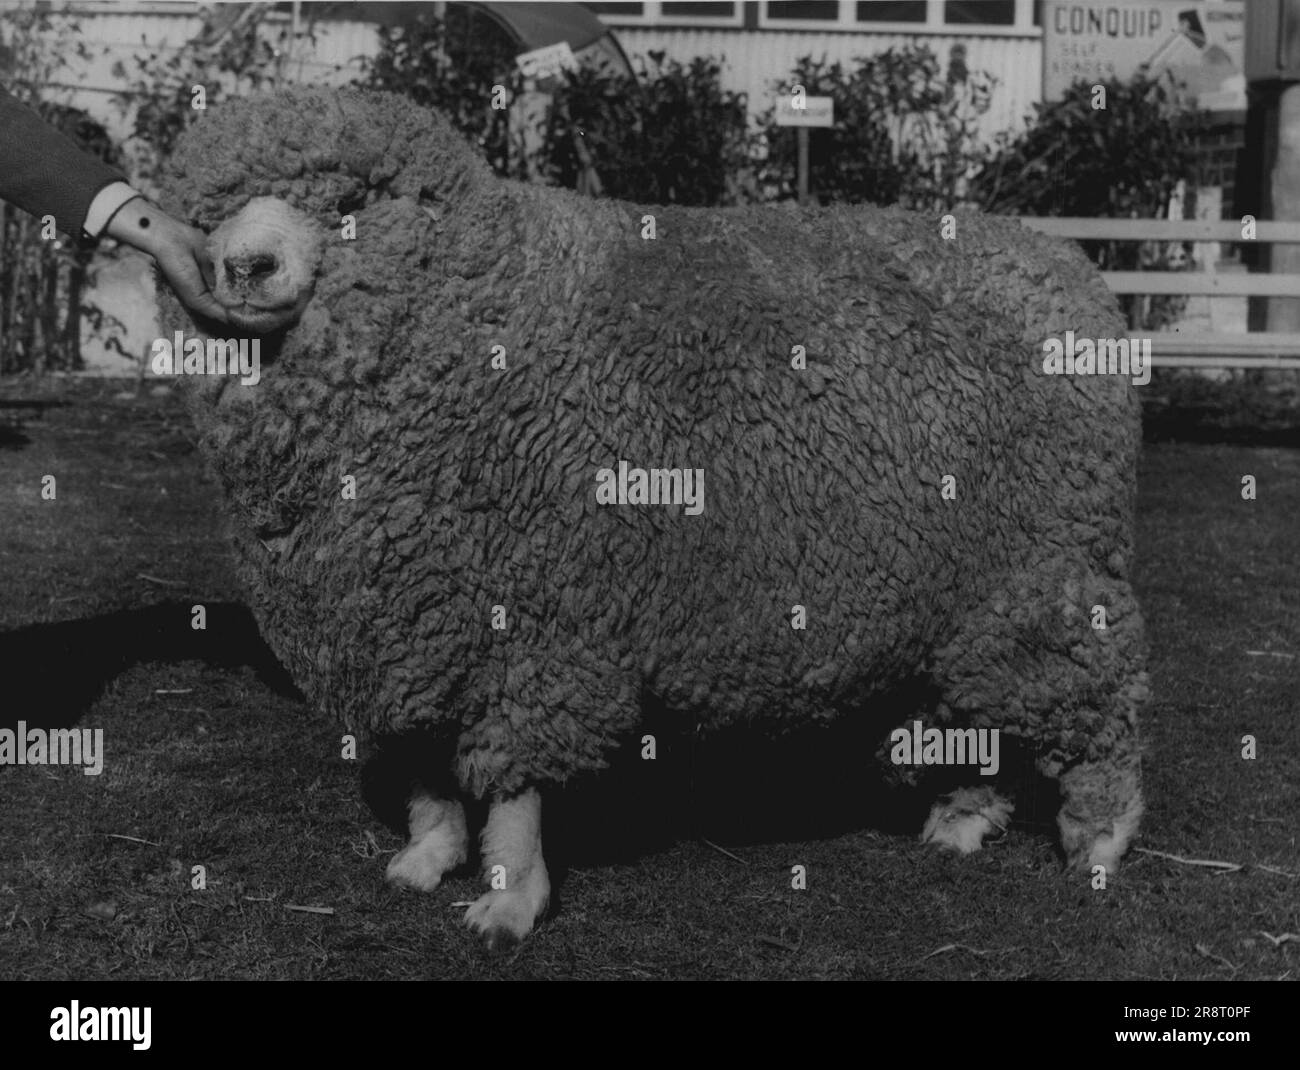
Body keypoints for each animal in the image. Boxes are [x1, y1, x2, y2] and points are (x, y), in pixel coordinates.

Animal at [155, 86, 1149, 950]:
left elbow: (516, 783)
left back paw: (1100, 841)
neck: (480, 310)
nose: (243, 268)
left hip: (1050, 565)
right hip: (966, 598)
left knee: (1102, 696)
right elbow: (432, 768)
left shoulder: (539, 618)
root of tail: (1067, 267)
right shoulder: (414, 620)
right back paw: (961, 821)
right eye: (213, 210)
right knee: (975, 706)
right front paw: (429, 856)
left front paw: (510, 900)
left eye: (350, 205)